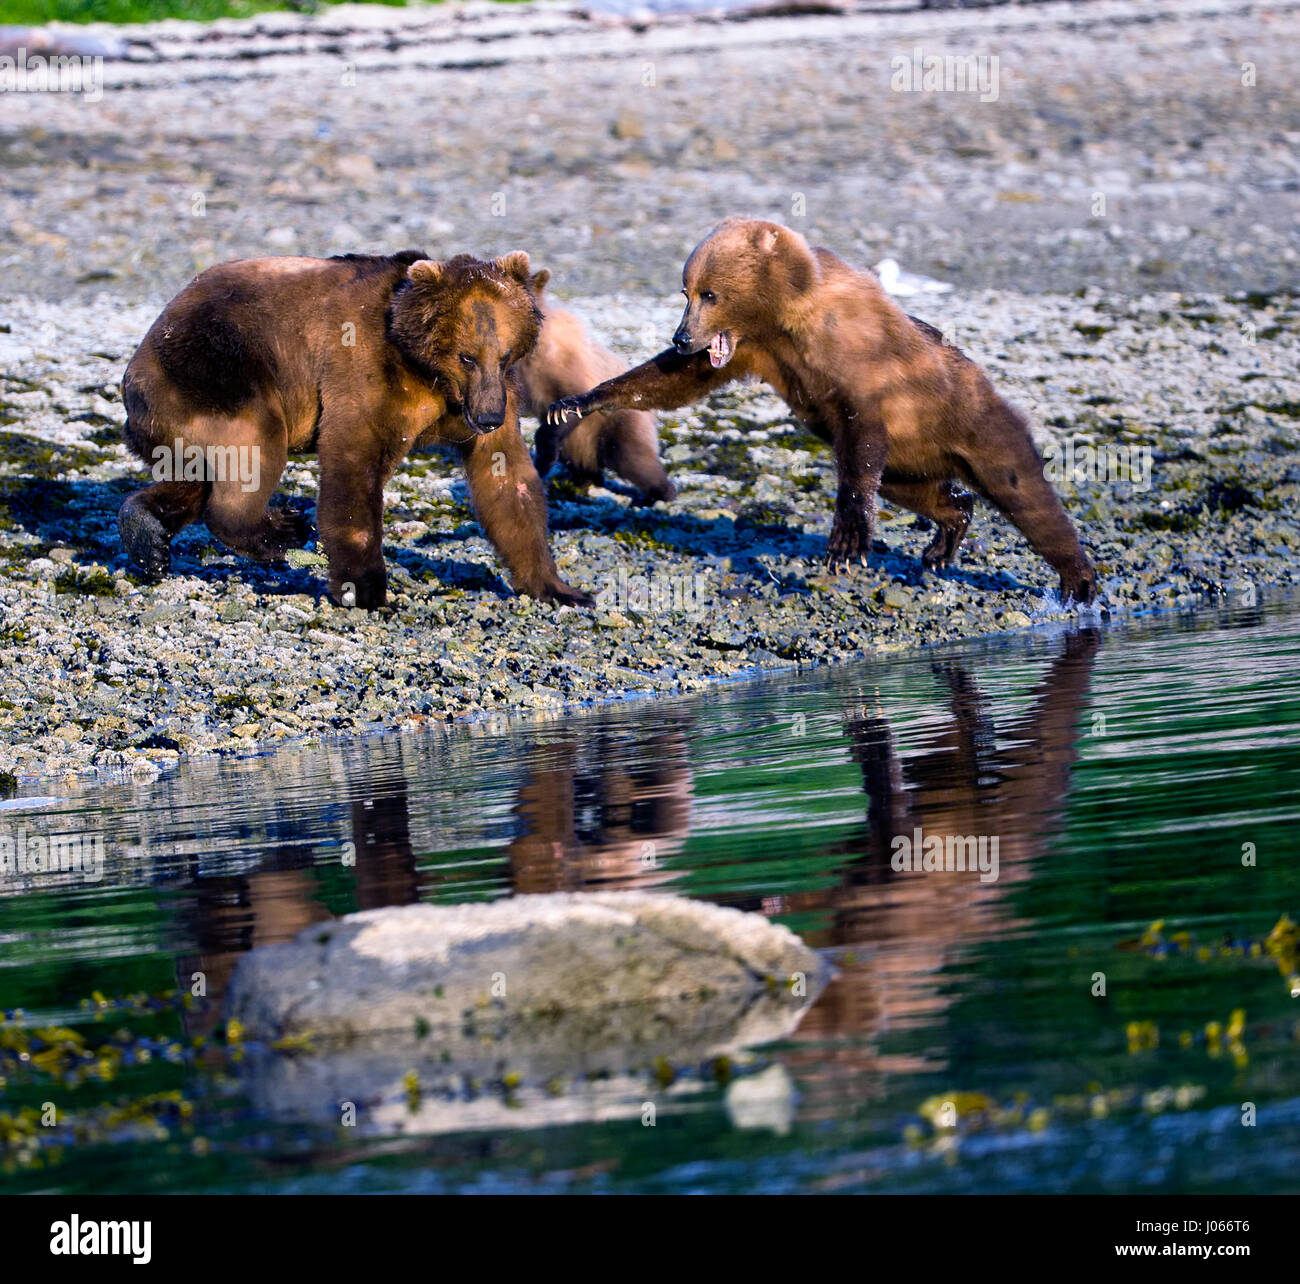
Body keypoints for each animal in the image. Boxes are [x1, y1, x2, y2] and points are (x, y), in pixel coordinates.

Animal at [119, 249, 593, 610]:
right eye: (467, 356)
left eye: (505, 353)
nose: (489, 416)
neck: (428, 373)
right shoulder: (366, 370)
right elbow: (353, 466)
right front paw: (365, 589)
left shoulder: (488, 400)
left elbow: (507, 480)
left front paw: (560, 588)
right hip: (219, 371)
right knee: (253, 449)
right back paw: (281, 531)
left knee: (195, 475)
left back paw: (147, 533)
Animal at [518, 268, 674, 503]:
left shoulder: (565, 365)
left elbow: (569, 401)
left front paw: (544, 456)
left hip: (620, 424)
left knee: (635, 461)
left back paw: (659, 494)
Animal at [547, 218, 1097, 604]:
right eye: (687, 291)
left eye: (710, 292)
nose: (682, 336)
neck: (782, 313)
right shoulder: (754, 349)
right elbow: (673, 379)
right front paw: (573, 403)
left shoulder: (851, 349)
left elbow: (860, 419)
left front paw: (846, 544)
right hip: (909, 459)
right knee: (917, 490)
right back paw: (947, 533)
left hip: (975, 426)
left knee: (1027, 497)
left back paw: (1079, 579)